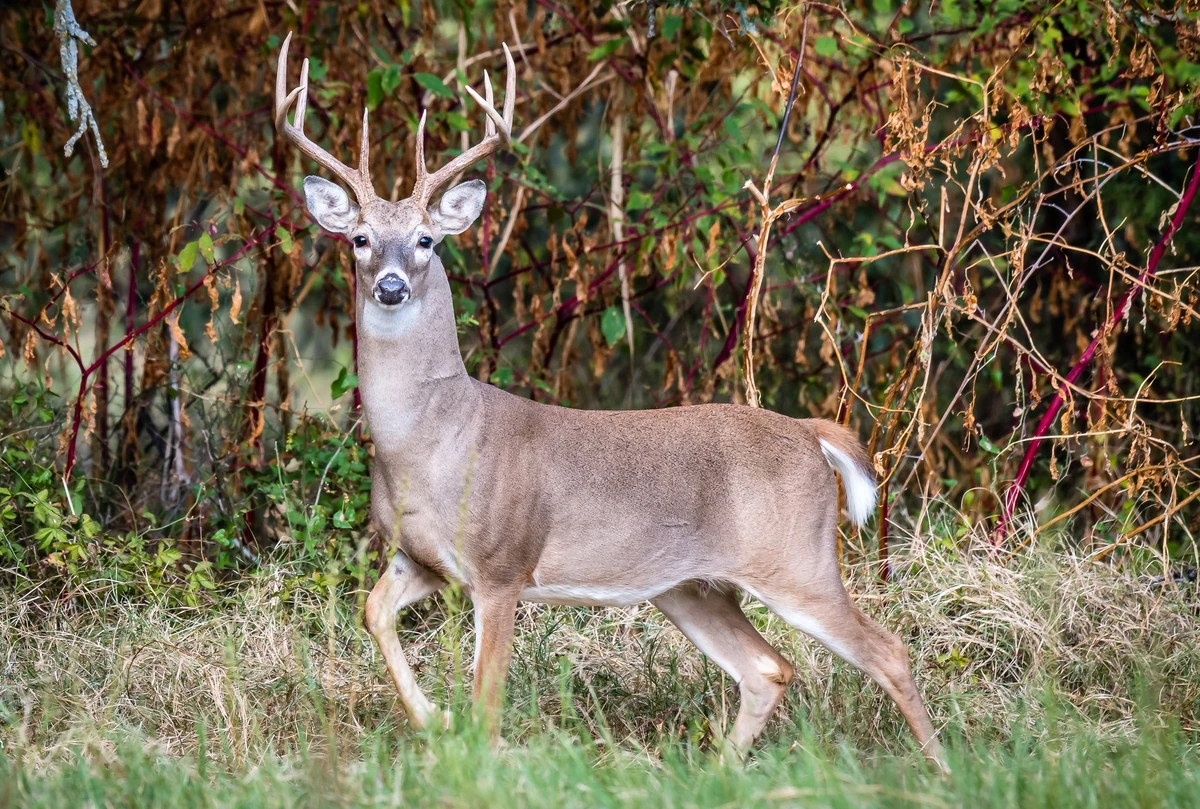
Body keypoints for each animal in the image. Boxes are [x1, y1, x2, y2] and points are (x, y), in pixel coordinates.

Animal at [274, 33, 944, 769]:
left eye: (426, 239)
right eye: (359, 238)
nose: (391, 285)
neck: (433, 442)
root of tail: (810, 433)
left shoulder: (503, 564)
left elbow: (487, 701)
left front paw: (472, 751)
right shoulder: (416, 558)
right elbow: (373, 613)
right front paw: (433, 719)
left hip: (796, 558)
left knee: (887, 650)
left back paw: (943, 768)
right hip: (691, 587)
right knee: (769, 668)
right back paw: (718, 770)